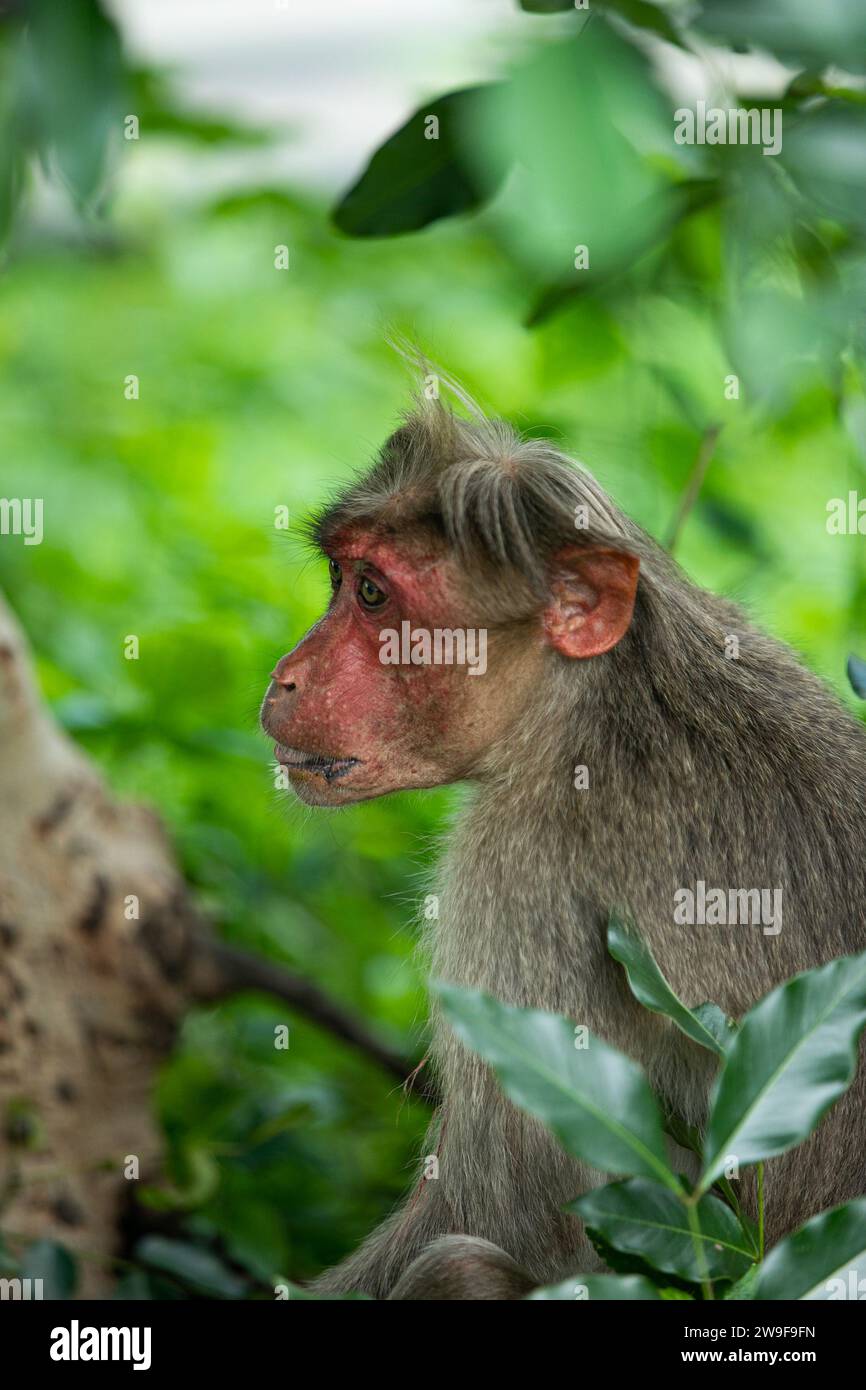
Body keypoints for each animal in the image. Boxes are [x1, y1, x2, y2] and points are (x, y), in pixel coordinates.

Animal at [261, 375, 866, 1295]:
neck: (587, 702)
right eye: (340, 575)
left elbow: (506, 1214)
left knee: (462, 1263)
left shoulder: (518, 876)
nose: (283, 676)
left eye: (370, 593)